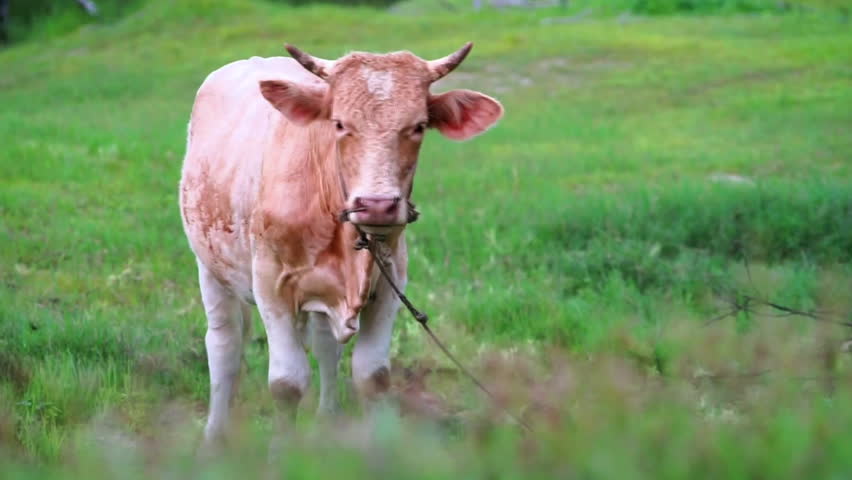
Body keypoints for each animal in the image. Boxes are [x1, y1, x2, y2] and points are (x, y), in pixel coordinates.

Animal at [179, 42, 503, 446]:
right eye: (339, 124)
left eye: (418, 126)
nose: (377, 204)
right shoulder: (270, 285)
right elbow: (286, 382)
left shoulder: (391, 281)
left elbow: (372, 375)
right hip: (209, 267)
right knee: (224, 345)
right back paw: (213, 436)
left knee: (324, 345)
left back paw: (328, 418)